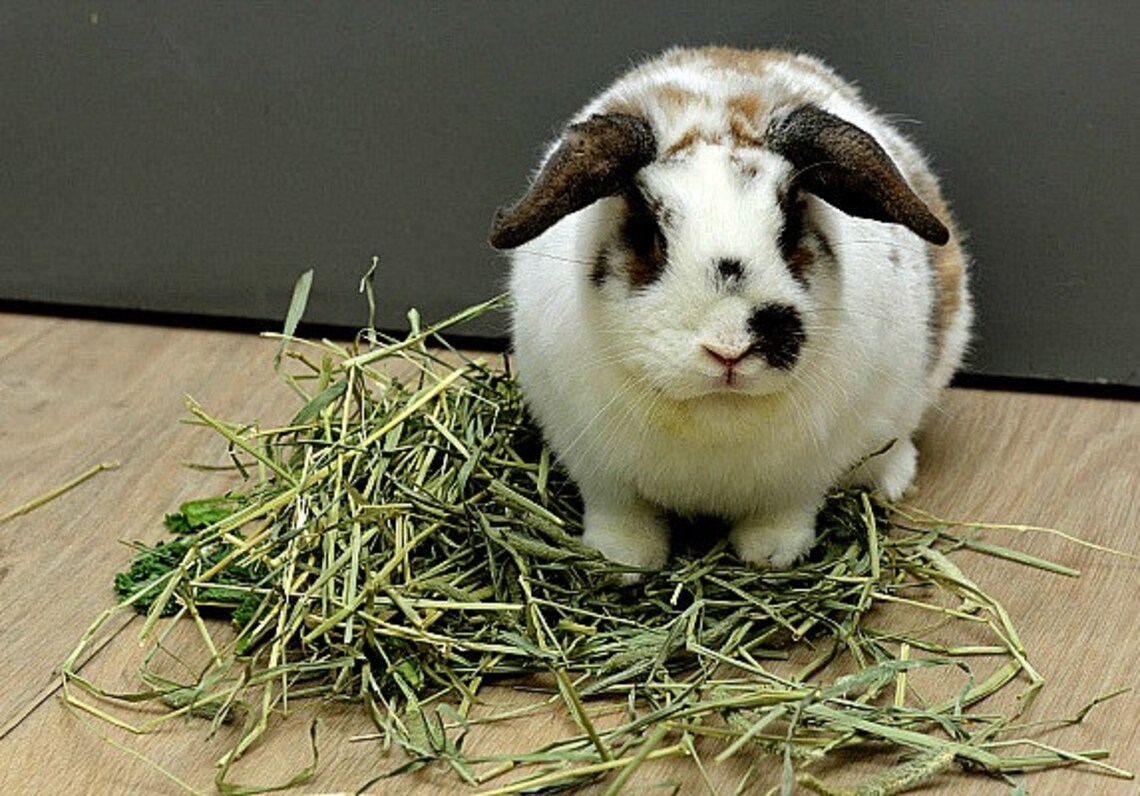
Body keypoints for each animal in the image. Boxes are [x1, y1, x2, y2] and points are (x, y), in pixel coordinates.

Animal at [489, 47, 971, 574]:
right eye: (649, 235)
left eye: (789, 230)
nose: (730, 350)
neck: (714, 416)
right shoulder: (599, 472)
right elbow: (621, 513)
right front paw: (623, 559)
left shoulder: (802, 479)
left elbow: (787, 512)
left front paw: (771, 555)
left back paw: (891, 477)